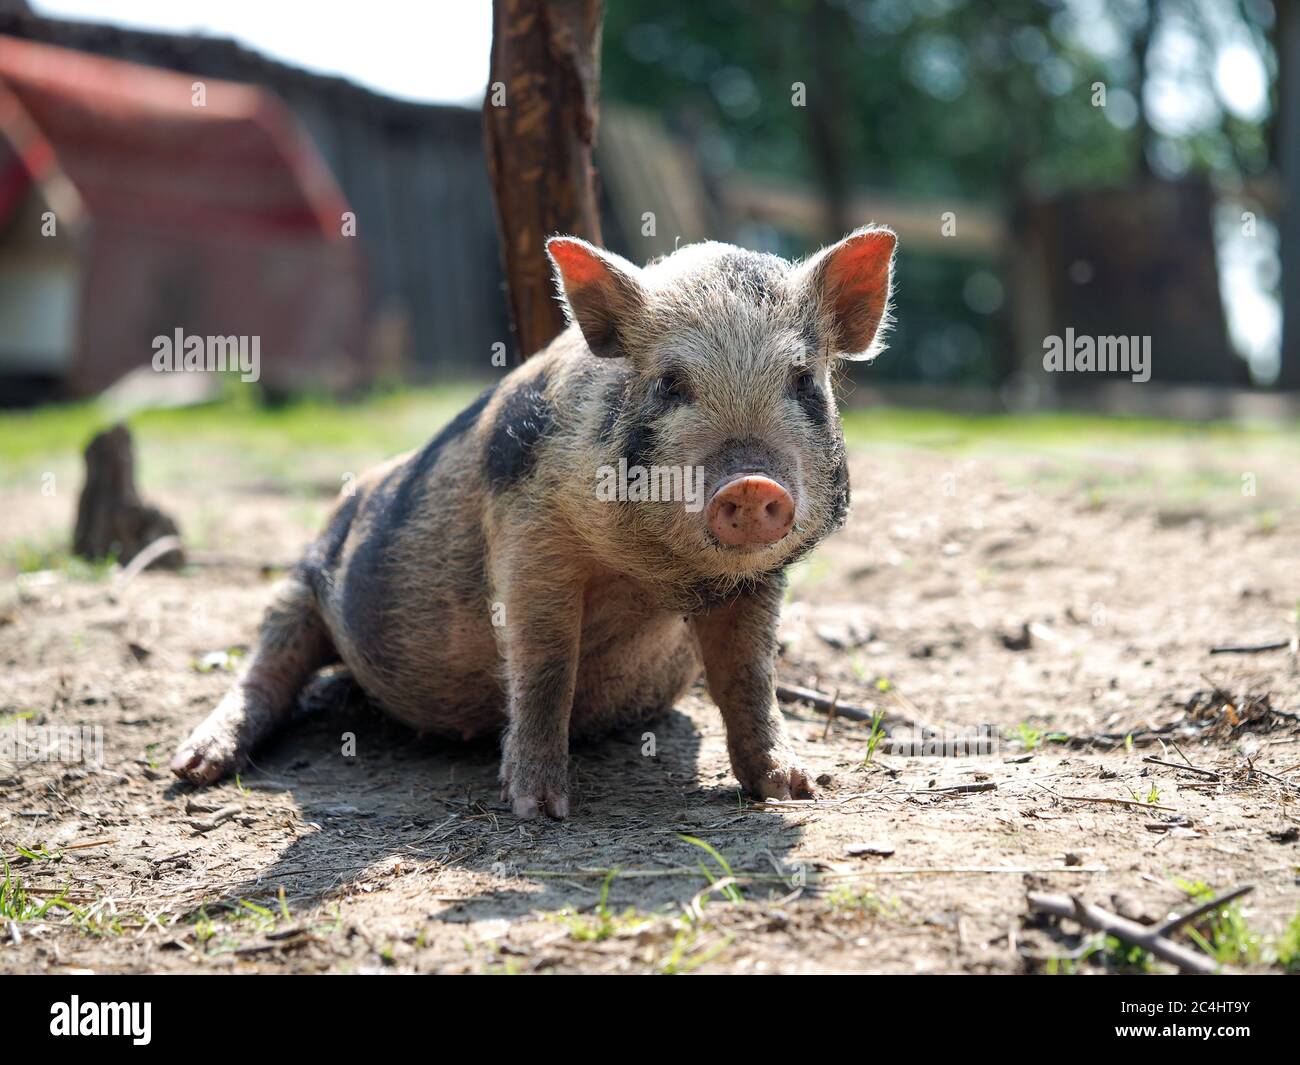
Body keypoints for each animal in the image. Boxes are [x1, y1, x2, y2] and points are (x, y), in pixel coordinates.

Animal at [171, 225, 897, 819]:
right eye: (669, 383)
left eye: (803, 381)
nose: (750, 483)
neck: (659, 574)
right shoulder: (529, 535)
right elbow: (545, 663)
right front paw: (539, 810)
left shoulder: (757, 582)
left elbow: (749, 676)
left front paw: (794, 789)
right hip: (304, 572)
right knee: (270, 658)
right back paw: (191, 769)